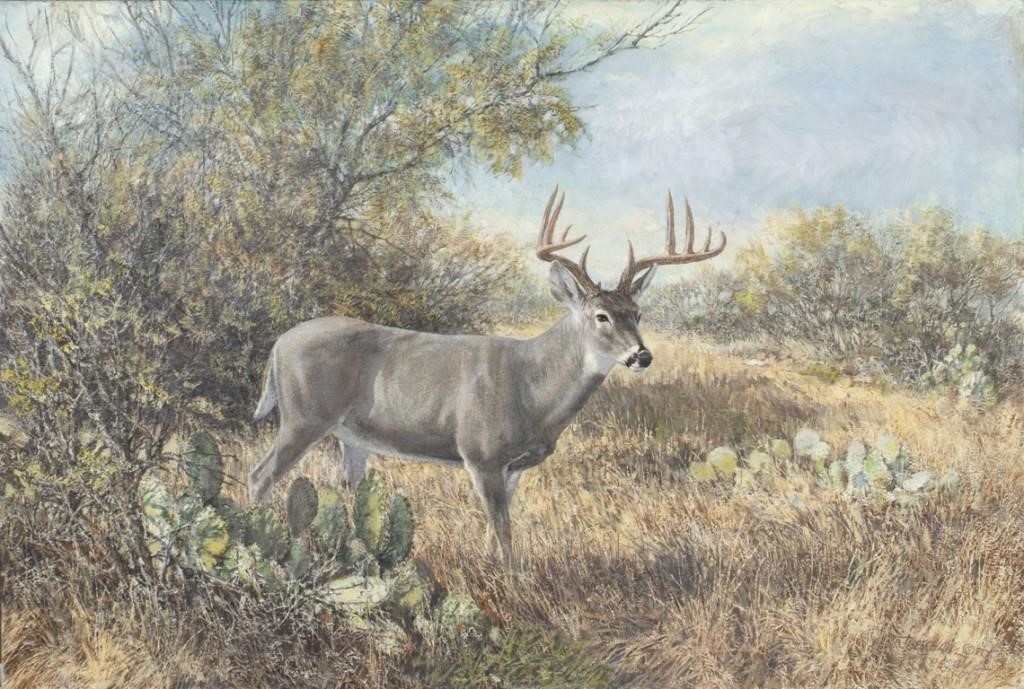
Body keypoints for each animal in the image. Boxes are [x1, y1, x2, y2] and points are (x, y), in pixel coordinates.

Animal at [248, 187, 726, 567]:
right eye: (601, 315)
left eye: (638, 313)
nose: (642, 356)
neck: (533, 388)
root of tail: (278, 345)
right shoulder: (479, 452)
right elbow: (503, 527)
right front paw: (513, 579)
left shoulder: (511, 466)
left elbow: (496, 525)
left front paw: (489, 565)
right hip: (303, 417)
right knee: (260, 475)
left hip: (348, 436)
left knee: (343, 486)